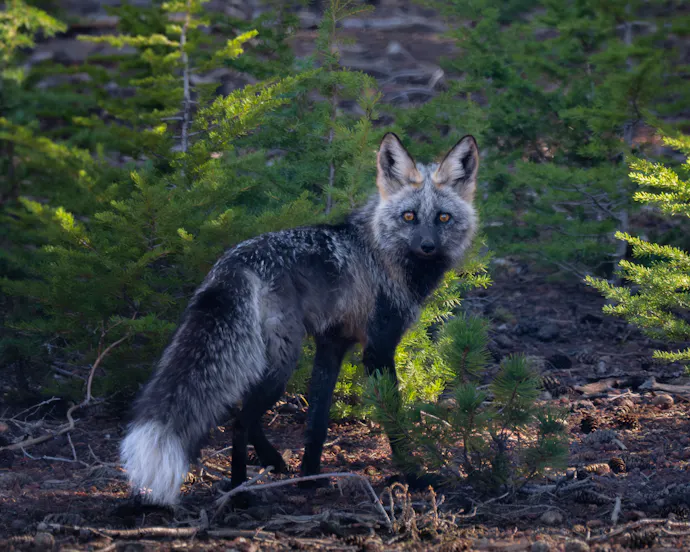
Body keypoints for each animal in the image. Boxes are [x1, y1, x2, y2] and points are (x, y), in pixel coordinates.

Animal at [120, 132, 480, 506]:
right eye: (409, 216)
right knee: (240, 422)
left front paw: (310, 475)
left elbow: (317, 420)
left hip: (264, 358)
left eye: (443, 219)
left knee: (239, 411)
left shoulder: (332, 342)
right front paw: (414, 475)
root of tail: (237, 261)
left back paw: (273, 462)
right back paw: (238, 490)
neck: (381, 252)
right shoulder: (378, 348)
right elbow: (393, 420)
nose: (427, 247)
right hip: (283, 361)